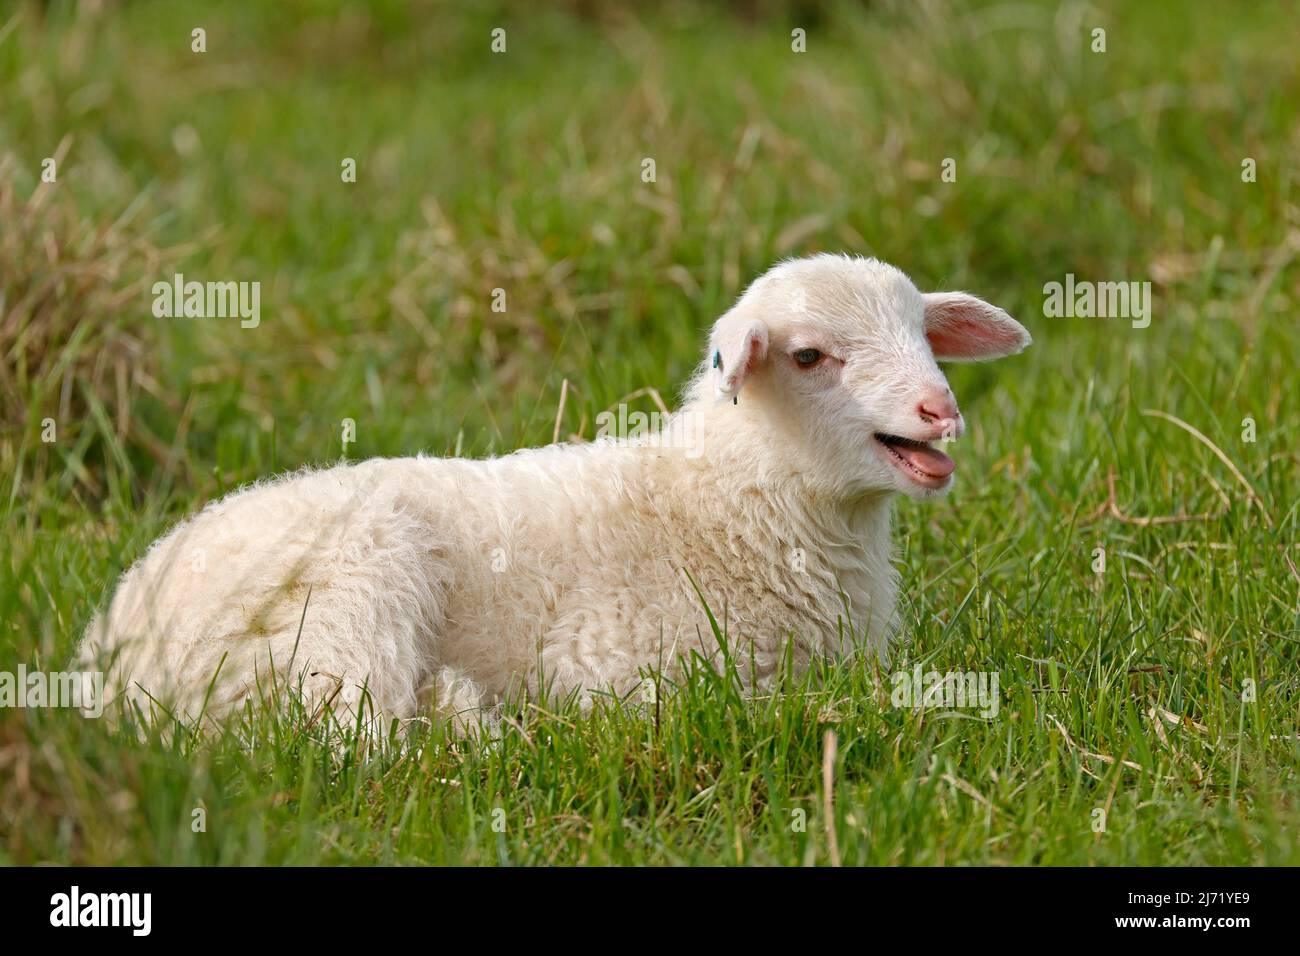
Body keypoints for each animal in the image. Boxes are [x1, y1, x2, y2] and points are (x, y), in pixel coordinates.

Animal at [79, 254, 1030, 734]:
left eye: (922, 332)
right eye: (808, 356)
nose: (940, 411)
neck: (719, 509)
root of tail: (116, 652)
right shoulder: (623, 664)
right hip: (354, 587)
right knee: (352, 738)